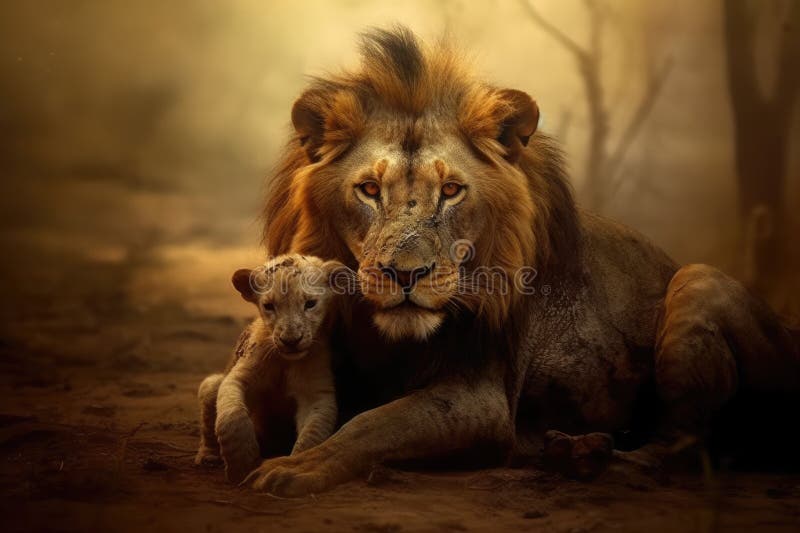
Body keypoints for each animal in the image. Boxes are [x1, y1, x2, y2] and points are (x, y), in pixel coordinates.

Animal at [195, 254, 343, 483]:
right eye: (269, 306)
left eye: (310, 304)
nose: (291, 340)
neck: (285, 360)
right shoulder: (240, 377)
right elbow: (233, 417)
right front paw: (241, 463)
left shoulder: (316, 394)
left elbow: (312, 434)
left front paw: (296, 464)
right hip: (213, 385)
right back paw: (208, 458)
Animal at [245, 27, 800, 495]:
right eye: (369, 189)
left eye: (451, 191)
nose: (406, 274)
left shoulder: (480, 401)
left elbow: (371, 423)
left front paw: (297, 467)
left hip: (697, 279)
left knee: (678, 447)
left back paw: (587, 457)